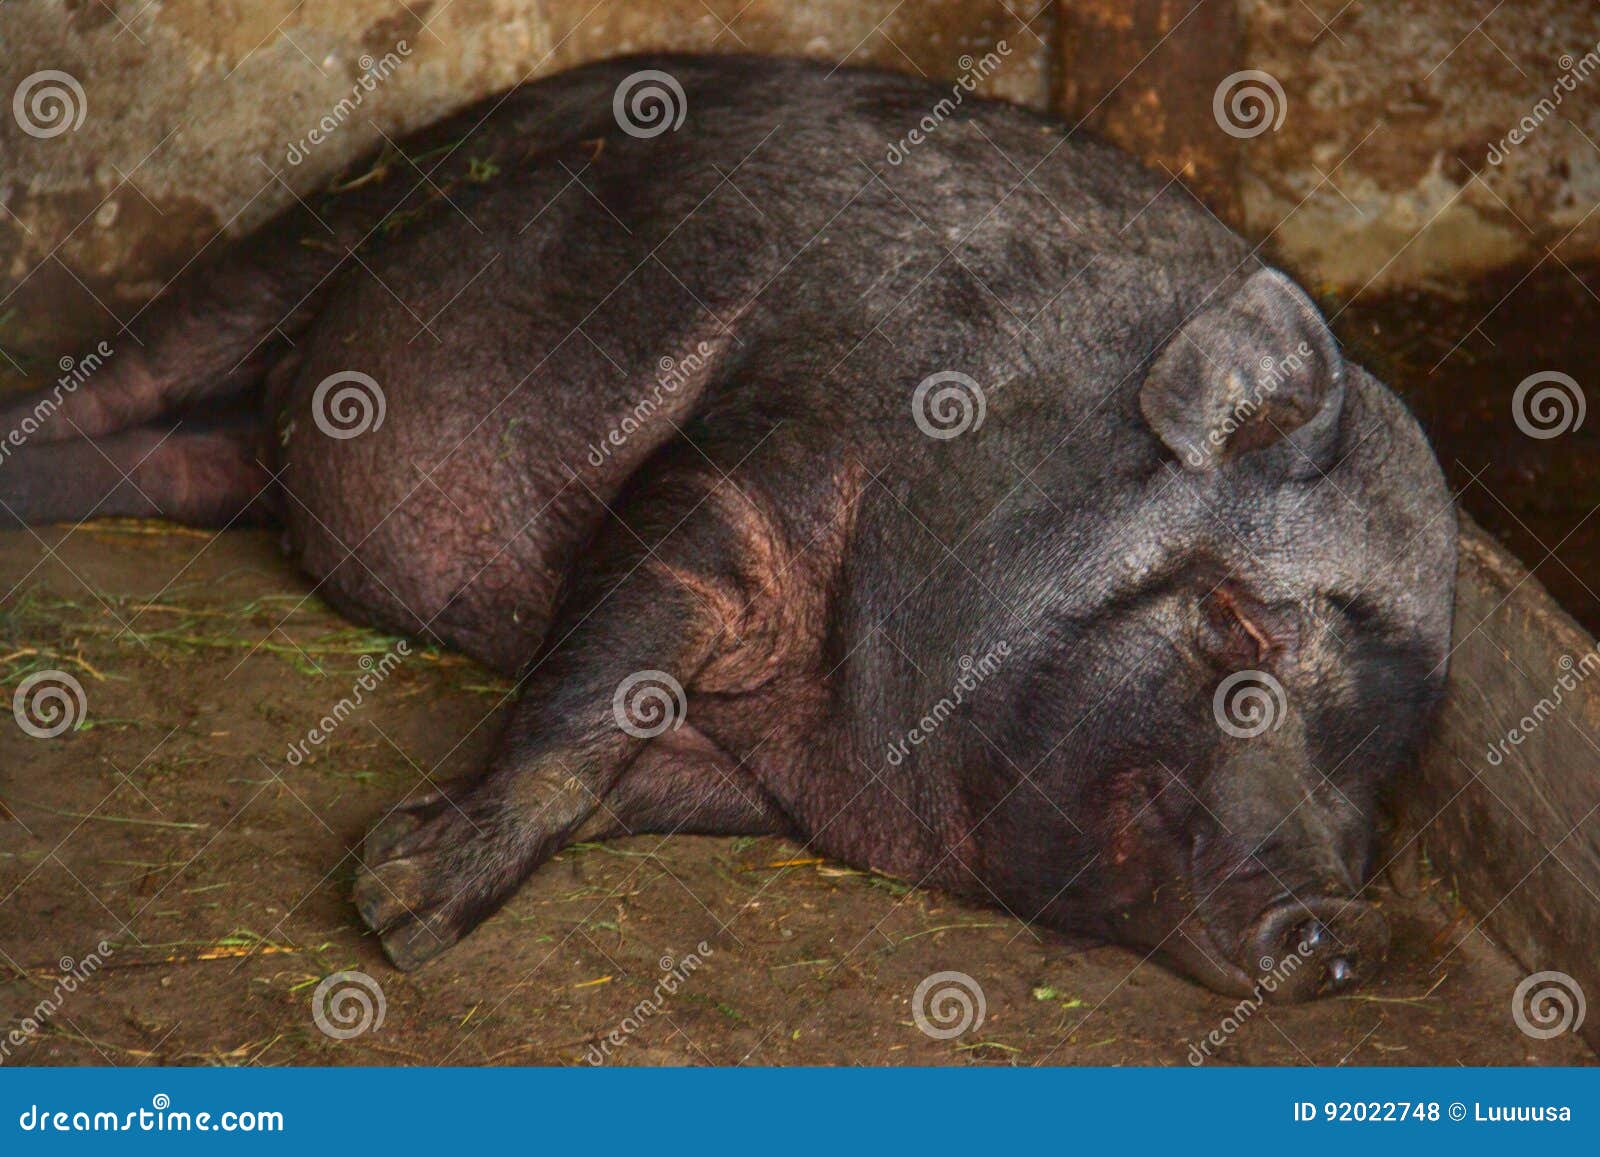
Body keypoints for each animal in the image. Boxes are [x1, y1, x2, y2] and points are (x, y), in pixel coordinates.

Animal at [0, 54, 1456, 1001]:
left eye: (1381, 767)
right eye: (1234, 620)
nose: (1346, 920)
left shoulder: (760, 783)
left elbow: (632, 767)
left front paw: (400, 864)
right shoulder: (753, 467)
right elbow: (609, 673)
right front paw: (400, 912)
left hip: (229, 451)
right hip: (330, 221)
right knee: (135, 356)